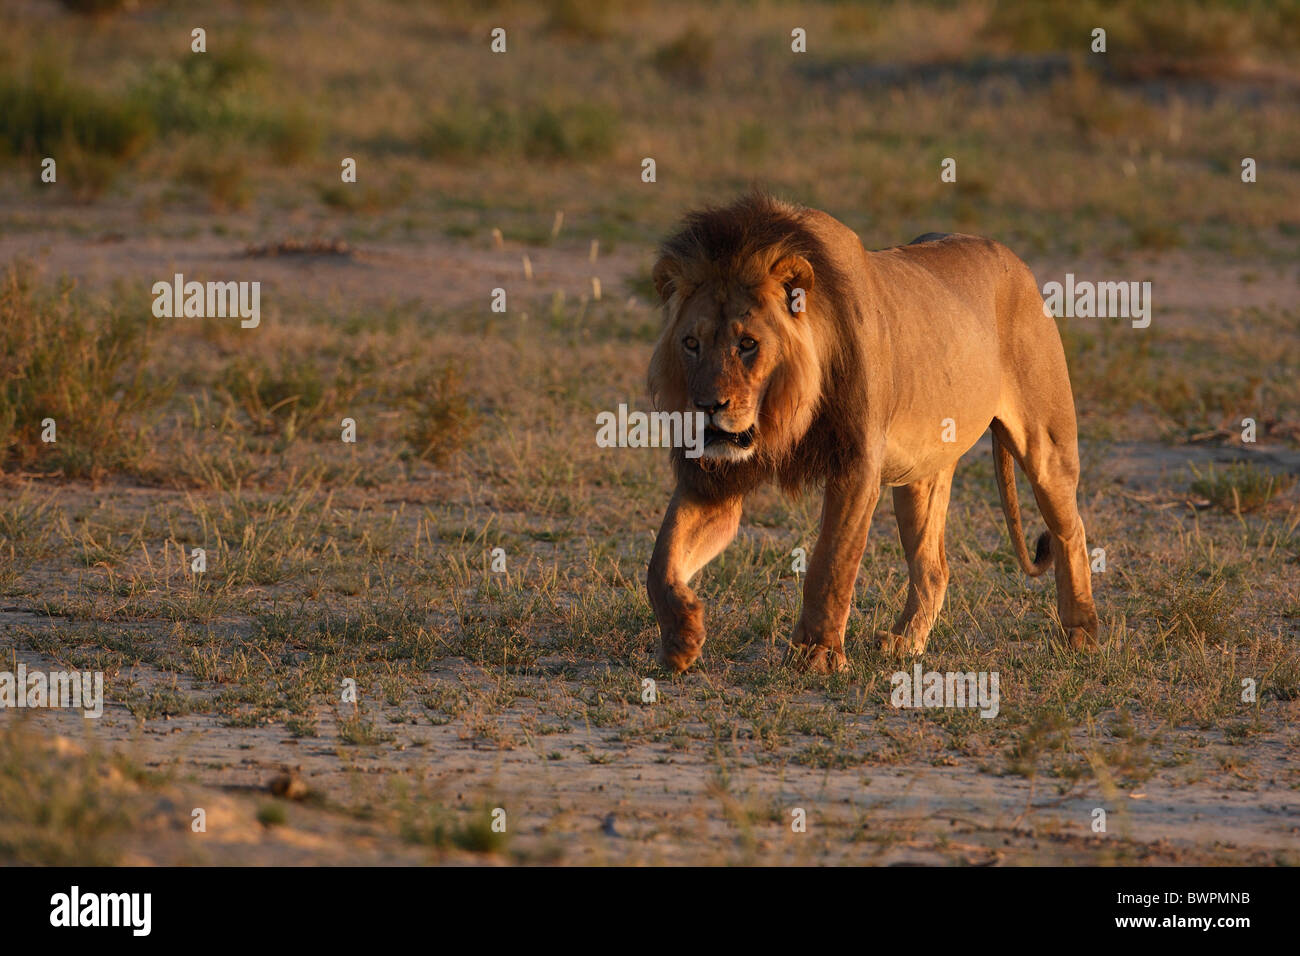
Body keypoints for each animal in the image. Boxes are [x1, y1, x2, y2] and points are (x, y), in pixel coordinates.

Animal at [646, 193, 1099, 673]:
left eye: (748, 344)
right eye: (691, 344)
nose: (707, 407)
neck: (784, 417)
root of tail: (1014, 259)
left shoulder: (857, 465)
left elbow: (830, 564)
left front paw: (817, 655)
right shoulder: (713, 476)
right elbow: (660, 561)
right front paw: (681, 637)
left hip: (1046, 446)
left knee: (1070, 532)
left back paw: (1082, 635)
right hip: (921, 475)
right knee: (933, 568)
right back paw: (903, 642)